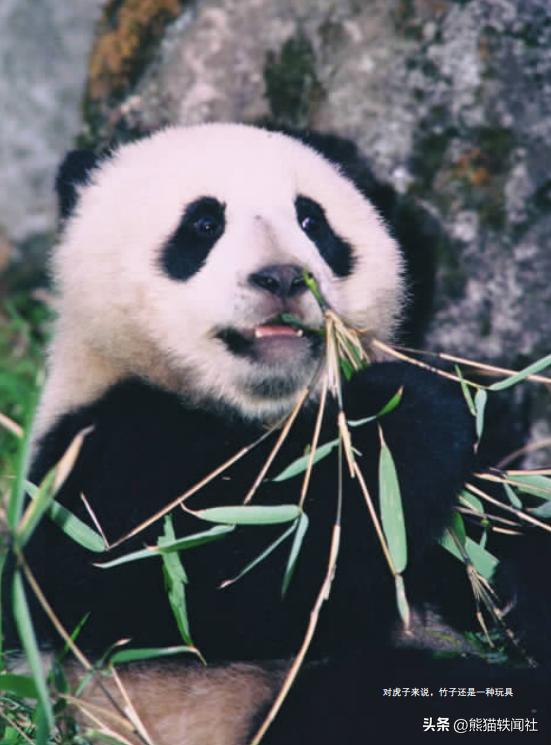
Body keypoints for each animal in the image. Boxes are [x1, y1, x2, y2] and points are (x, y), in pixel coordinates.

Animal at [3, 123, 550, 744]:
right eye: (203, 225)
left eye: (311, 220)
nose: (284, 277)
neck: (258, 410)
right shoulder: (94, 455)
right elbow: (207, 581)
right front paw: (406, 409)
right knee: (371, 701)